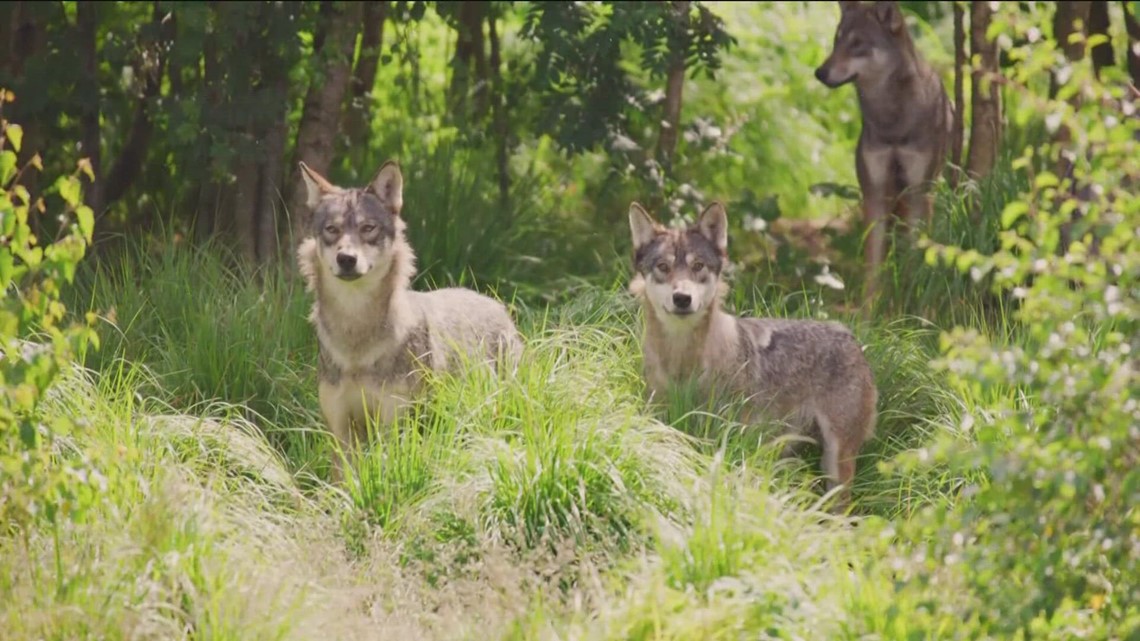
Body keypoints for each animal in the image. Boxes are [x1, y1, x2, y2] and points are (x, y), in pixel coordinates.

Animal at [296, 160, 523, 483]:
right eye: (332, 229)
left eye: (368, 228)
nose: (347, 259)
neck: (356, 342)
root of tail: (496, 304)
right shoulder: (340, 429)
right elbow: (344, 483)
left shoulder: (393, 422)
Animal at [627, 201, 878, 510]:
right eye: (663, 267)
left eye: (698, 266)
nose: (682, 299)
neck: (683, 362)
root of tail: (849, 335)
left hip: (836, 460)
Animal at [814, 0, 954, 306]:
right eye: (837, 40)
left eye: (857, 44)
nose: (819, 72)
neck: (891, 122)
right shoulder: (874, 194)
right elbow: (873, 268)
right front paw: (870, 313)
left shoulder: (918, 194)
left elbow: (914, 258)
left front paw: (910, 305)